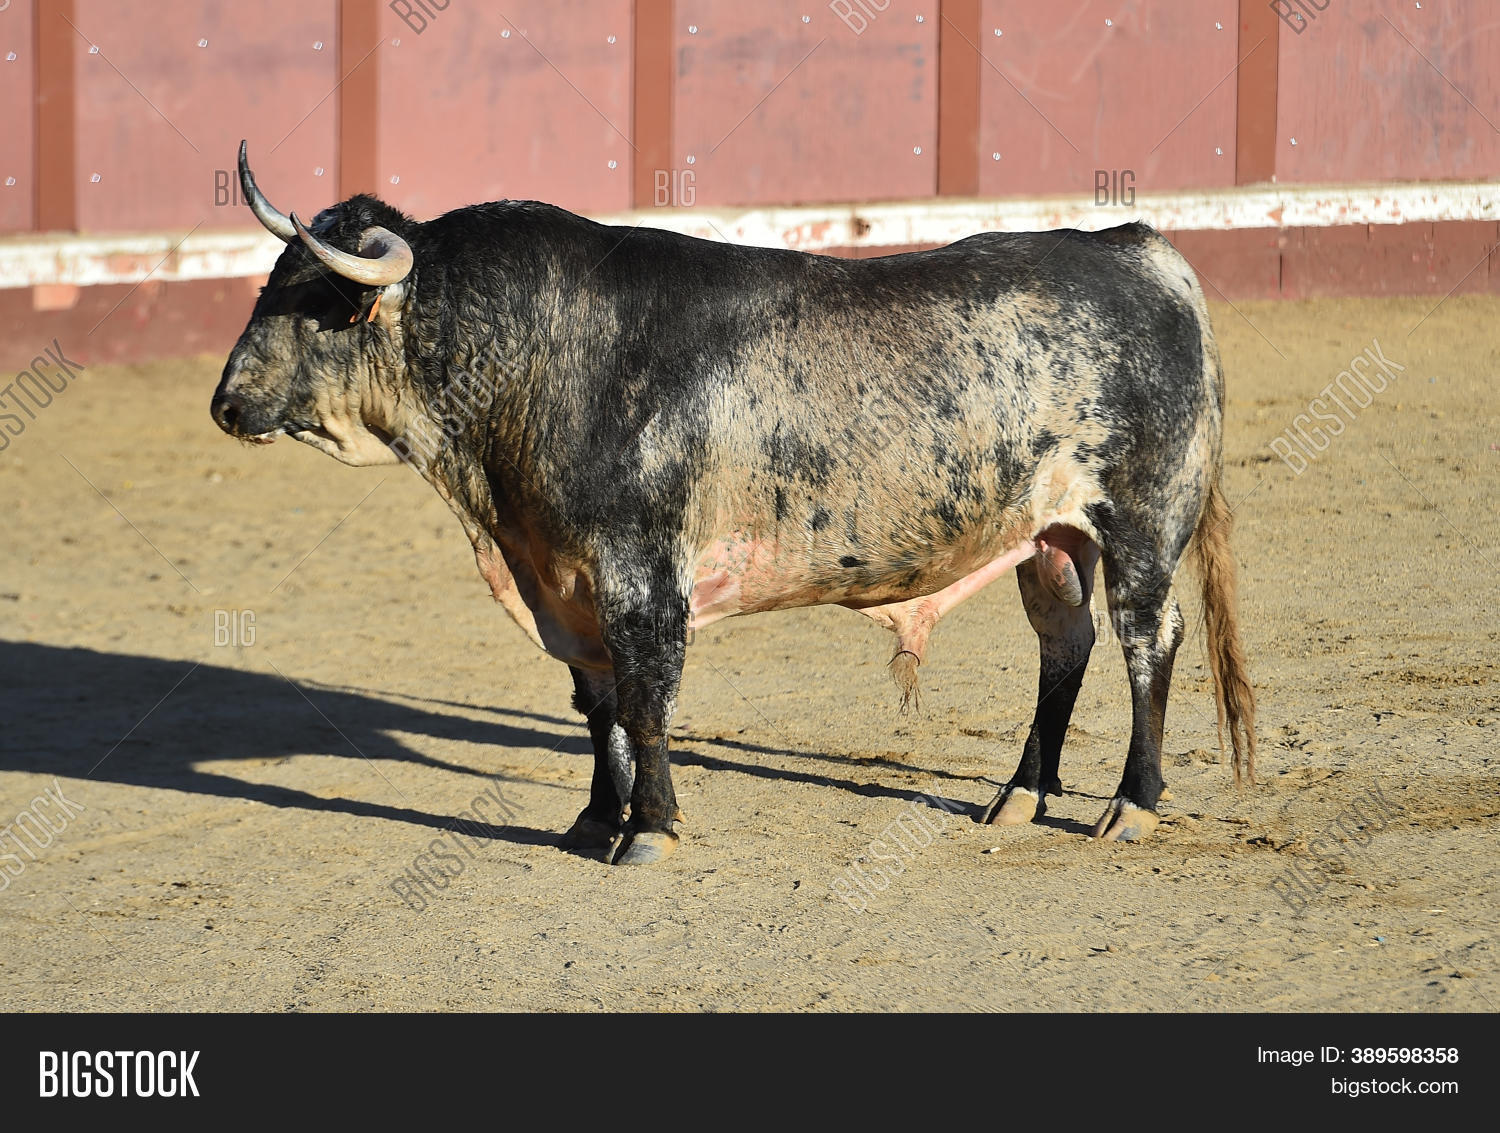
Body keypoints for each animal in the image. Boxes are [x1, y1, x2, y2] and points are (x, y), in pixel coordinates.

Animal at [212, 142, 1256, 865]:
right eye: (267, 286)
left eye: (321, 307)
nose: (225, 404)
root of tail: (1140, 248)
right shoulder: (566, 580)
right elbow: (597, 704)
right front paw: (593, 817)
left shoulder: (639, 579)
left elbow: (646, 699)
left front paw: (649, 829)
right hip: (1047, 536)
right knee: (1065, 644)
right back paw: (1022, 793)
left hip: (1142, 523)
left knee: (1146, 642)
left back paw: (1132, 802)